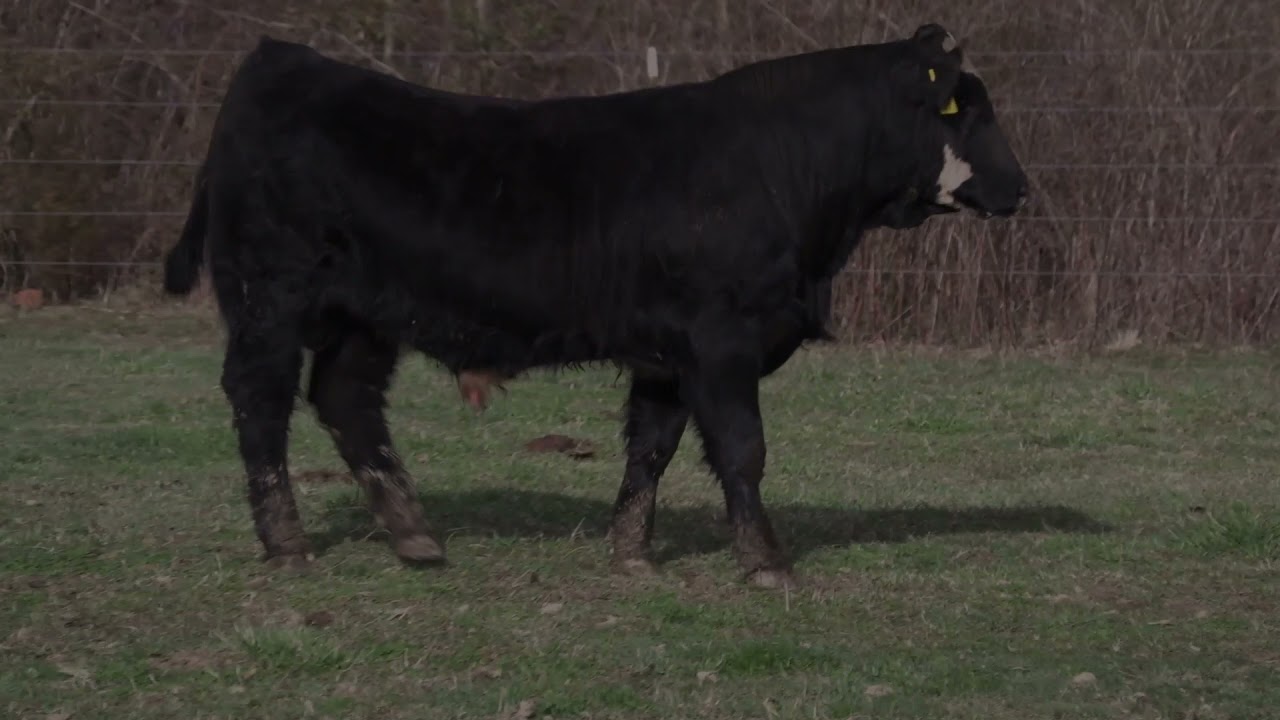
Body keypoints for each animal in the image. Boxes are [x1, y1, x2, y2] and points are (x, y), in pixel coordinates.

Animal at [161, 23, 1027, 588]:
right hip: (270, 299)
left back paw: (413, 534)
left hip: (365, 317)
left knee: (346, 399)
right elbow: (743, 448)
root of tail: (281, 60)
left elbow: (652, 448)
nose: (1020, 186)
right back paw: (288, 542)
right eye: (970, 111)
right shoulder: (722, 340)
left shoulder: (667, 356)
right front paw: (767, 564)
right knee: (262, 404)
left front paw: (632, 553)